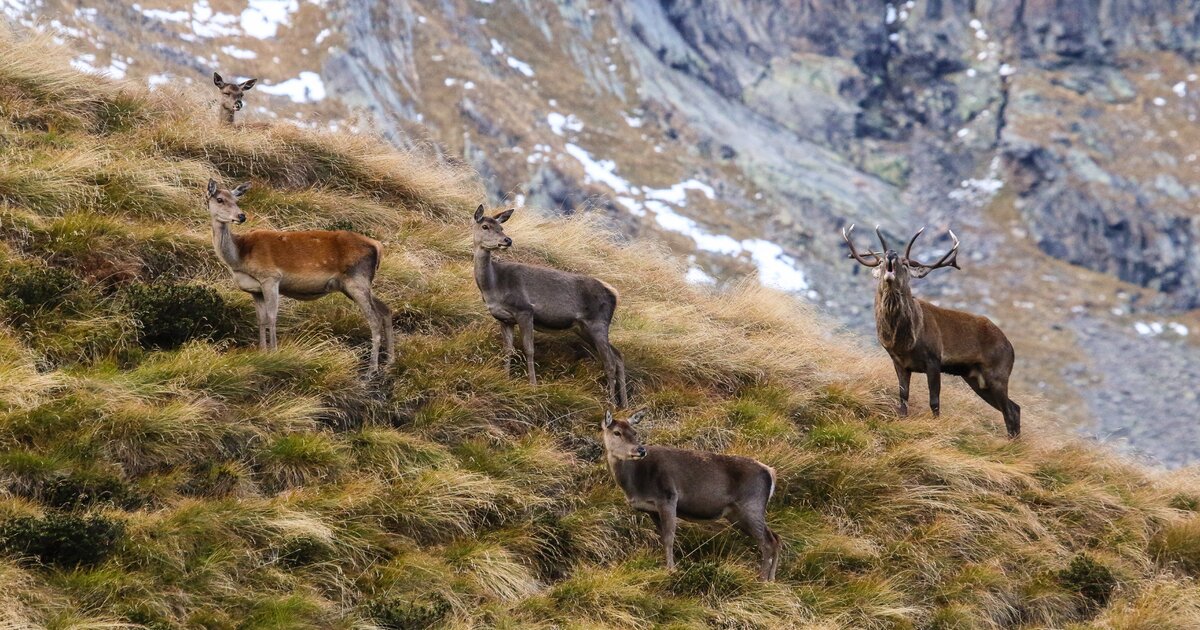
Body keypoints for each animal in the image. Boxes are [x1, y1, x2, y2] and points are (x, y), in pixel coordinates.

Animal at [206, 179, 394, 373]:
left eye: (236, 200)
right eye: (220, 199)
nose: (241, 216)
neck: (239, 257)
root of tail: (378, 246)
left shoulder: (271, 278)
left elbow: (272, 317)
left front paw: (274, 353)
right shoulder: (255, 290)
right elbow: (261, 320)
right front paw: (262, 352)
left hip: (357, 280)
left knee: (374, 319)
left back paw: (372, 367)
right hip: (354, 285)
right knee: (386, 310)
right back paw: (390, 361)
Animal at [472, 205, 628, 406]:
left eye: (501, 227)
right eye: (485, 226)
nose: (507, 240)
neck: (493, 285)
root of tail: (614, 293)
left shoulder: (525, 310)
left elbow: (529, 349)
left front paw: (533, 386)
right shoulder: (503, 318)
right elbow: (508, 350)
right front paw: (505, 378)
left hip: (598, 323)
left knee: (609, 362)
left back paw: (612, 404)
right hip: (583, 328)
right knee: (618, 356)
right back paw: (624, 405)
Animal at [601, 410, 782, 580]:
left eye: (634, 432)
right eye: (617, 432)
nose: (640, 450)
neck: (635, 484)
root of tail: (771, 472)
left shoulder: (668, 496)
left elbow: (669, 537)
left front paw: (671, 569)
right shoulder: (651, 509)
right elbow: (662, 537)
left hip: (751, 505)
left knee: (768, 542)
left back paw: (763, 579)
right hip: (737, 514)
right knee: (775, 537)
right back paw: (771, 578)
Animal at [843, 225, 1021, 437]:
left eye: (905, 264)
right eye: (880, 260)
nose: (891, 253)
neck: (905, 341)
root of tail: (1011, 348)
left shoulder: (934, 359)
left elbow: (934, 401)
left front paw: (936, 427)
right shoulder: (898, 361)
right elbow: (903, 397)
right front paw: (903, 419)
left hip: (998, 372)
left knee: (1009, 411)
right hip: (977, 379)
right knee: (1015, 407)